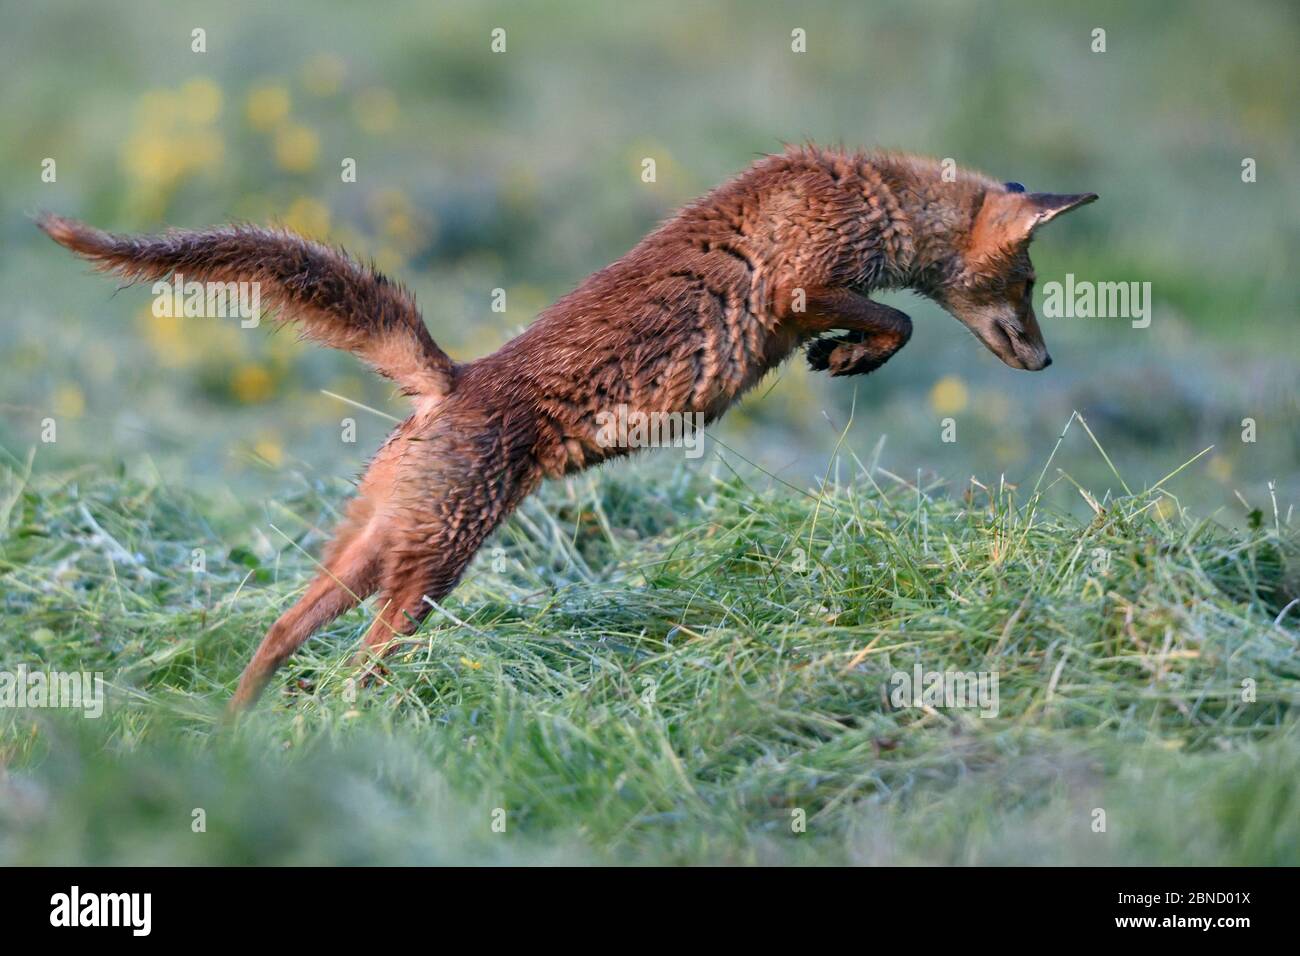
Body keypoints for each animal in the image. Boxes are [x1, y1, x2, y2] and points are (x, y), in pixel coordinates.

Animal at [38, 144, 1096, 710]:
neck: (871, 196)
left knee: (276, 635)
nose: (1047, 362)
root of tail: (453, 380)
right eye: (1029, 284)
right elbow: (899, 321)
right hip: (430, 570)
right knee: (355, 668)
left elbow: (891, 322)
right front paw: (851, 355)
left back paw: (241, 735)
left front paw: (847, 356)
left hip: (372, 553)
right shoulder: (794, 287)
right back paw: (349, 729)